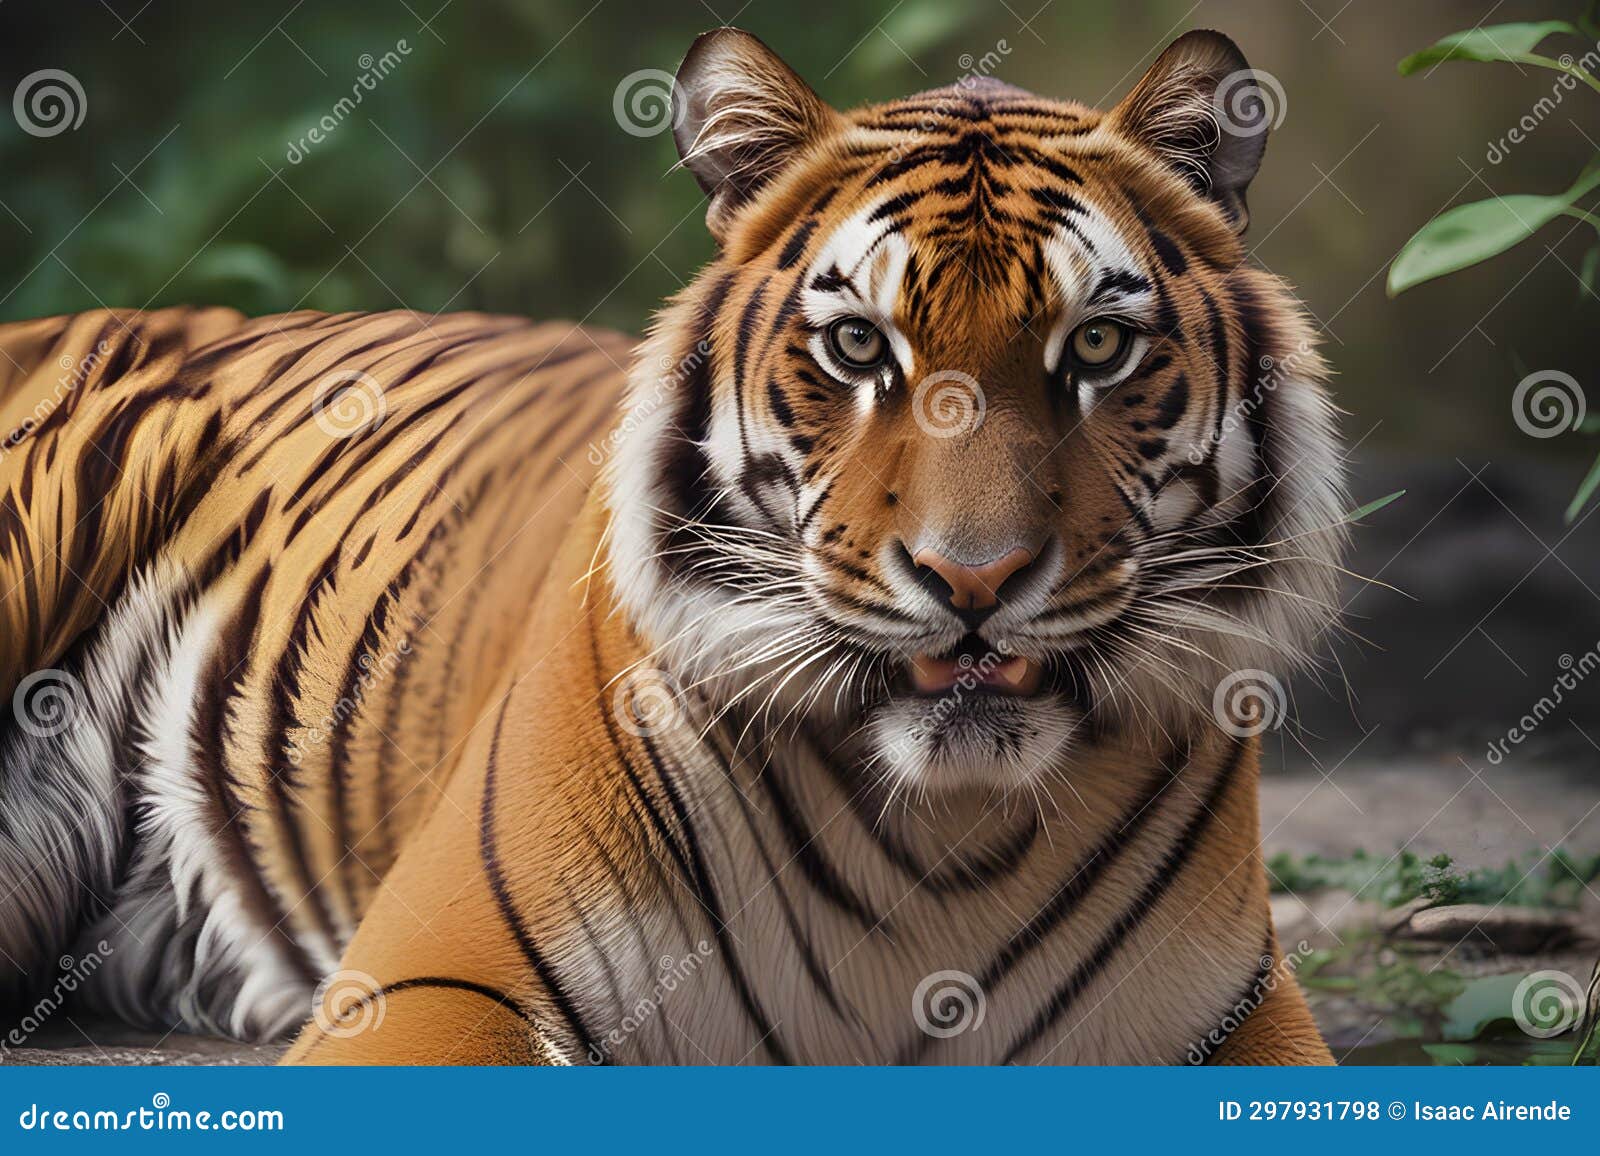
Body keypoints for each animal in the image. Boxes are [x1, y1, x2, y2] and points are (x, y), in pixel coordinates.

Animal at [0, 27, 1344, 1065]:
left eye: (1097, 347)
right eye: (859, 346)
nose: (974, 579)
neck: (943, 838)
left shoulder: (1235, 1016)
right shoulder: (442, 973)